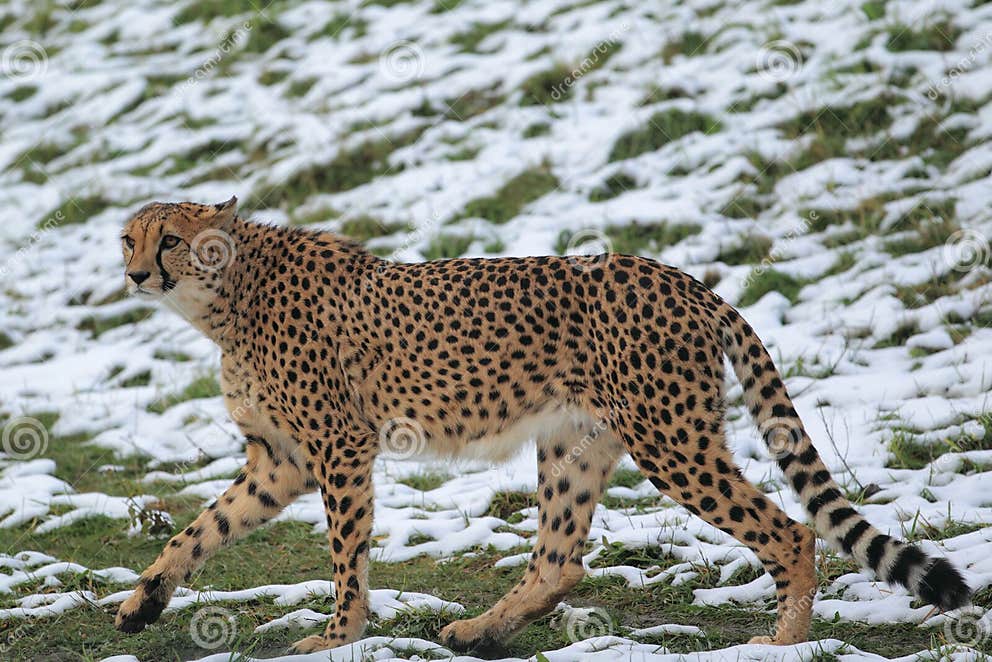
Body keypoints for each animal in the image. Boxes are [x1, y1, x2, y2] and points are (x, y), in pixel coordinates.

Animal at [115, 197, 971, 653]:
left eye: (173, 239)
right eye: (131, 237)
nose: (134, 272)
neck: (228, 293)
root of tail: (679, 276)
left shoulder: (339, 449)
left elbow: (346, 555)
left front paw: (338, 634)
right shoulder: (280, 460)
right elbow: (199, 530)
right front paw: (143, 602)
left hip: (671, 439)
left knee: (789, 531)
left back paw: (786, 643)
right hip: (573, 441)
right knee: (560, 561)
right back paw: (479, 632)